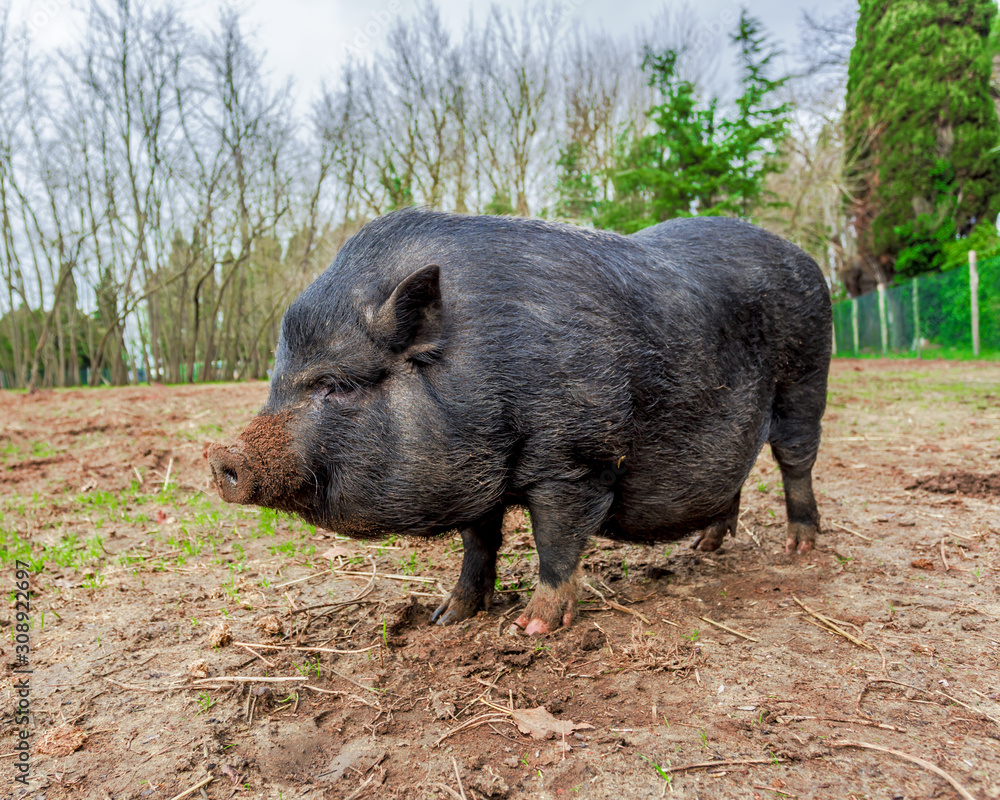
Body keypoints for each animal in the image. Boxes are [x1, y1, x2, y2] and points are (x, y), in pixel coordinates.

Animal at [208, 209, 831, 635]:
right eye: (277, 380)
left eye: (334, 384)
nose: (221, 456)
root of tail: (804, 256)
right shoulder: (472, 477)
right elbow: (478, 544)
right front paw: (446, 617)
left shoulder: (577, 461)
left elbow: (555, 542)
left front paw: (529, 628)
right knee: (736, 474)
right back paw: (705, 548)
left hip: (806, 379)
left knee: (795, 461)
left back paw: (798, 549)